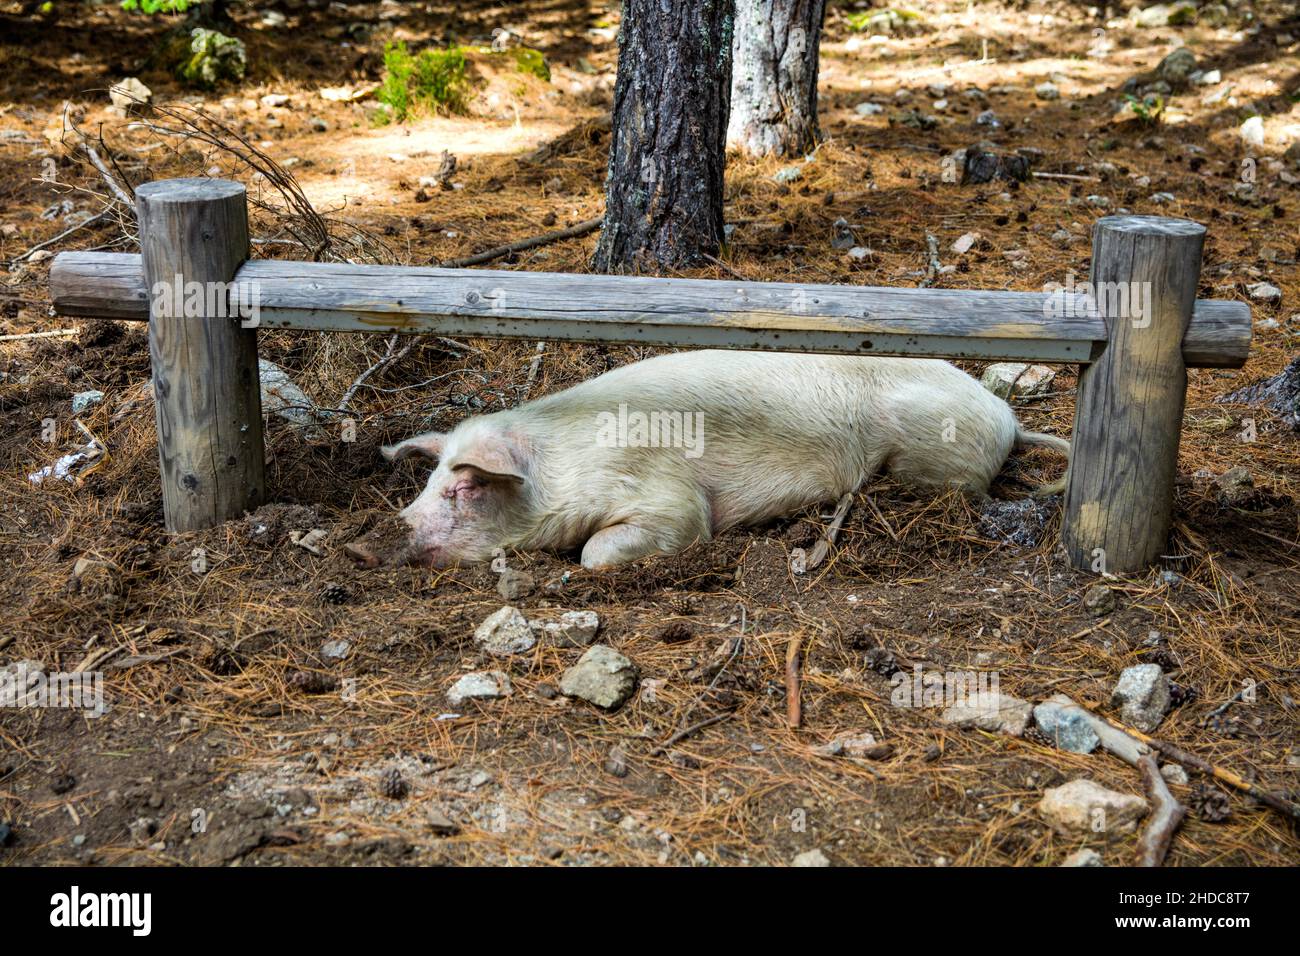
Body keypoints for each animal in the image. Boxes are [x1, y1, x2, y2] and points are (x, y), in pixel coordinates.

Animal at [361, 351, 1069, 570]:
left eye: (463, 489)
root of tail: (1008, 419)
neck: (558, 470)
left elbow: (597, 552)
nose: (359, 544)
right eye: (428, 482)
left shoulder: (665, 495)